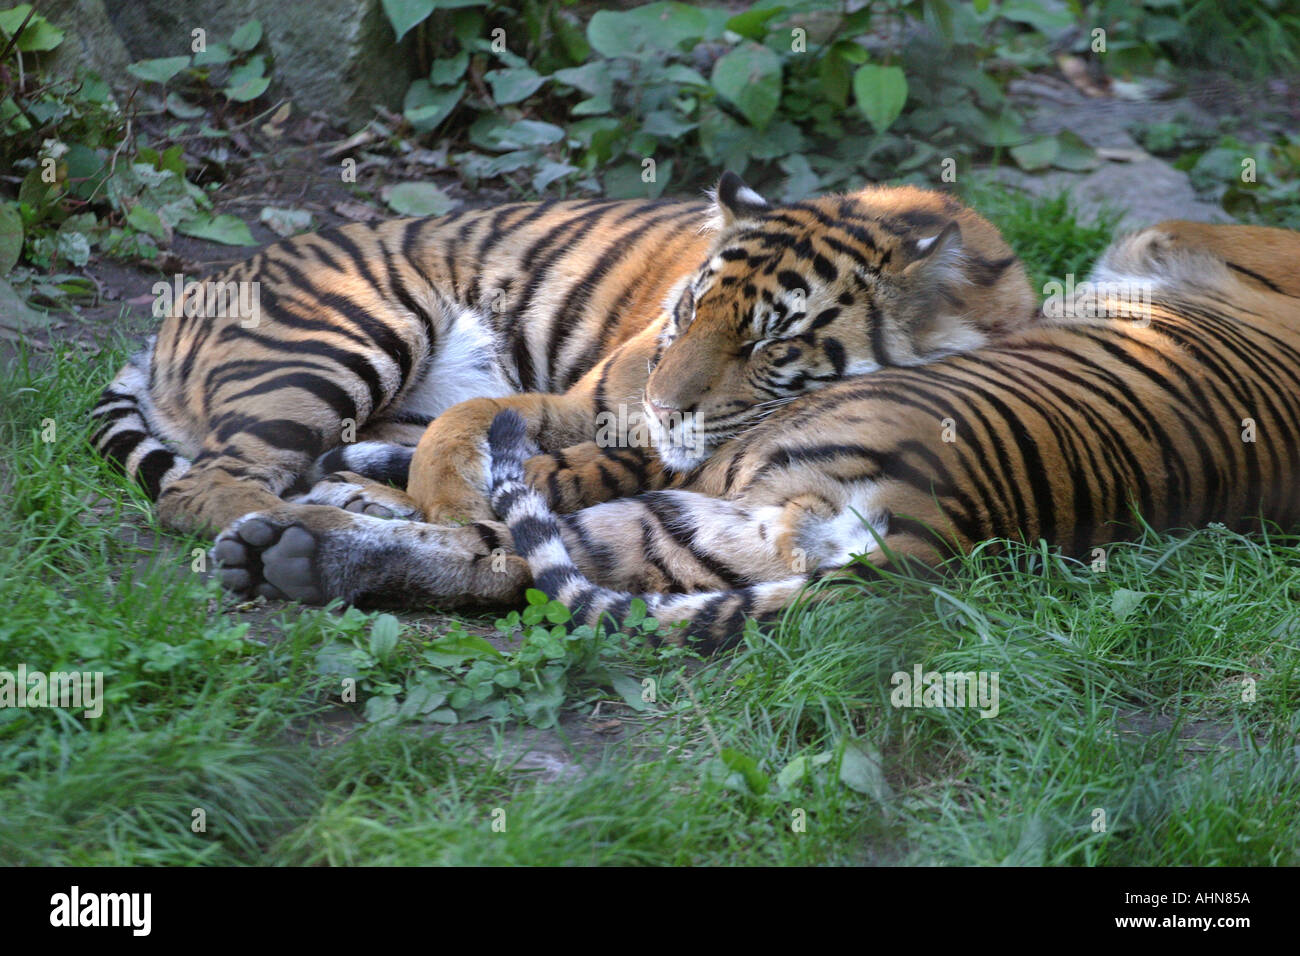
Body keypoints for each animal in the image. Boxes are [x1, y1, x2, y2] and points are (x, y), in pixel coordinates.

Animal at [92, 173, 1033, 576]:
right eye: (690, 311)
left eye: (768, 346)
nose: (663, 408)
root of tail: (175, 311)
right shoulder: (591, 398)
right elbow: (464, 427)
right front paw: (459, 511)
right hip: (343, 336)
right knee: (208, 486)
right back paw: (297, 531)